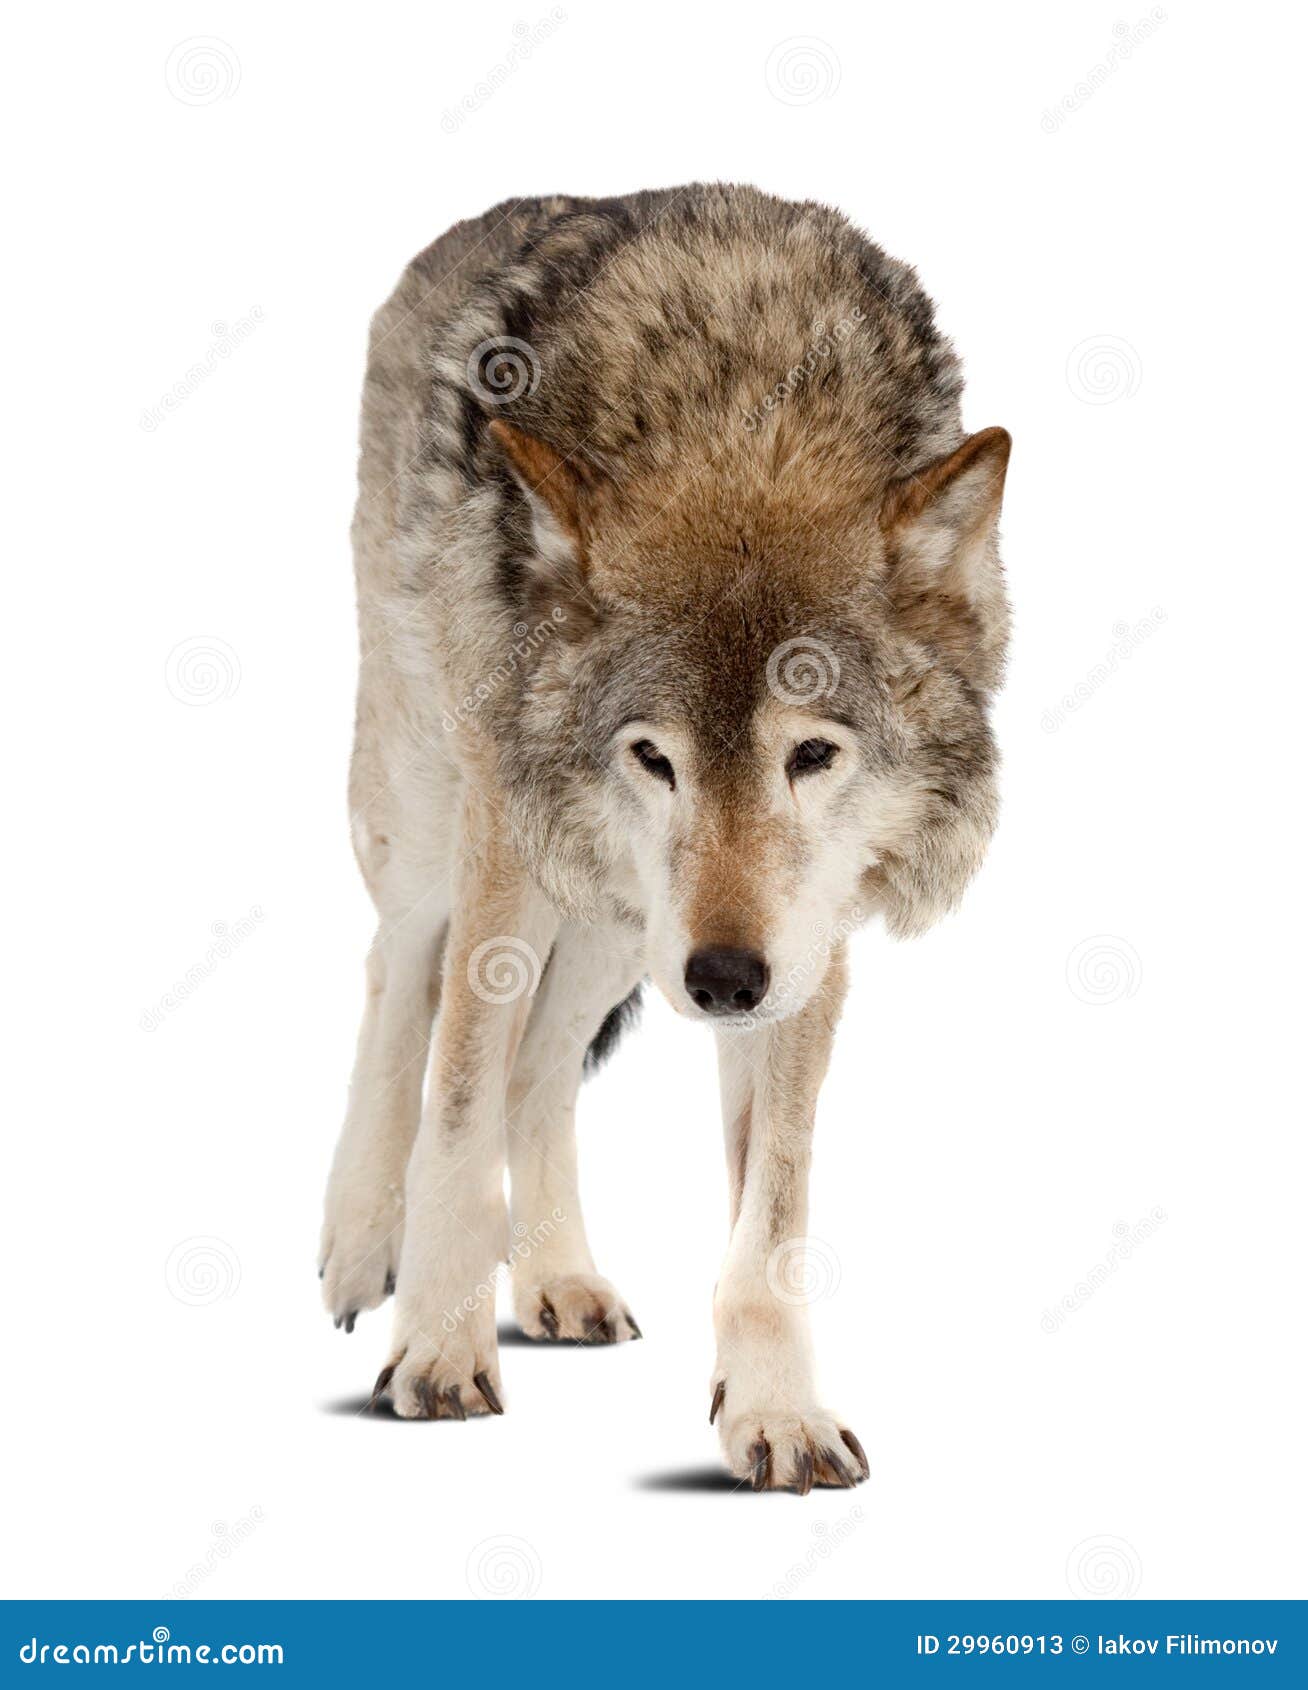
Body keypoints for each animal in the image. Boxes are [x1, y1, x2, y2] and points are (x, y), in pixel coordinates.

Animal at [319, 184, 1011, 1490]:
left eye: (812, 755)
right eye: (655, 756)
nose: (726, 978)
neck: (742, 422)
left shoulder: (804, 946)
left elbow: (771, 1219)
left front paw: (775, 1411)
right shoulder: (509, 858)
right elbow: (456, 1107)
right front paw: (435, 1347)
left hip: (617, 927)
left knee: (542, 1069)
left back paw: (556, 1277)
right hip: (447, 829)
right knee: (395, 976)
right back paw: (357, 1243)